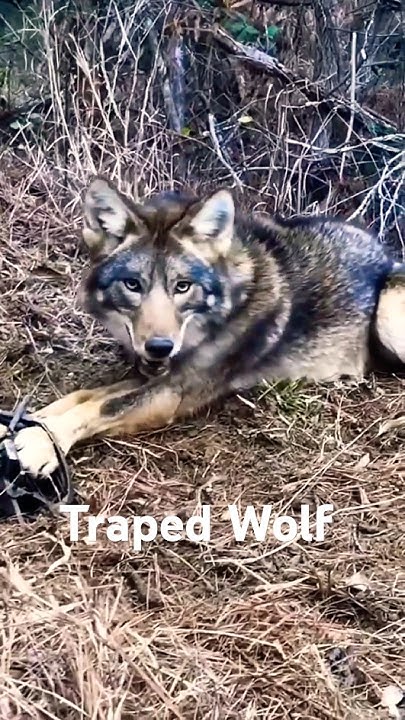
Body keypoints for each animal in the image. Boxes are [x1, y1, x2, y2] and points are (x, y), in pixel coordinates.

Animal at [2, 177, 405, 478]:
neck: (226, 306)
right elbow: (81, 397)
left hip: (387, 307)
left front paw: (42, 443)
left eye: (183, 287)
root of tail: (388, 254)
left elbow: (102, 408)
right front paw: (23, 425)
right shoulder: (154, 375)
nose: (160, 347)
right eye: (133, 285)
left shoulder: (173, 392)